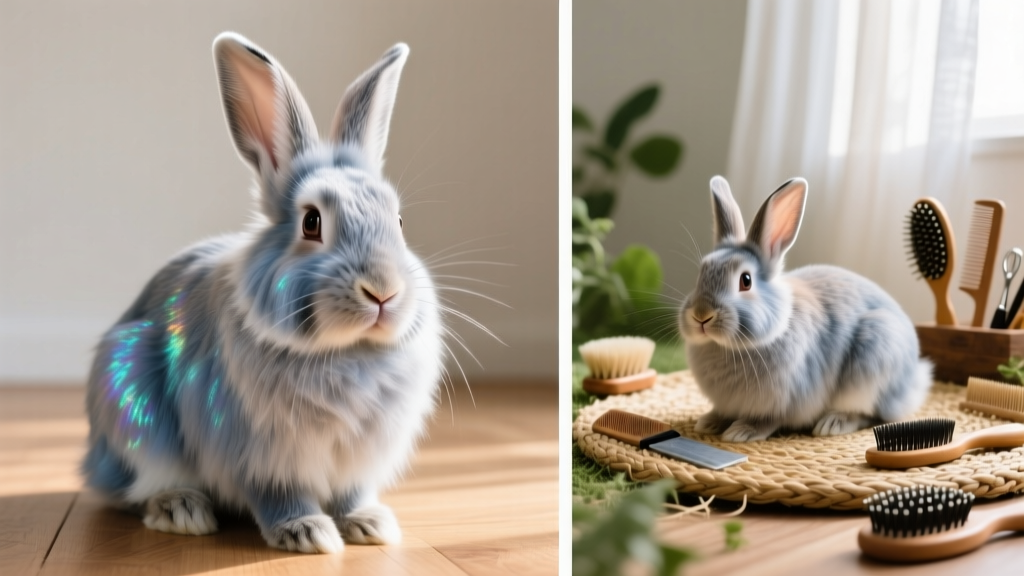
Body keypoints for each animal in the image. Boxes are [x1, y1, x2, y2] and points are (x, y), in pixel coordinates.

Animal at [81, 32, 444, 554]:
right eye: (311, 222)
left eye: (398, 221)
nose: (383, 291)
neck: (346, 353)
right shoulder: (261, 457)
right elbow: (280, 496)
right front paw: (308, 533)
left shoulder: (356, 461)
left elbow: (353, 494)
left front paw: (371, 525)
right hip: (129, 405)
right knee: (137, 488)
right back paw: (182, 510)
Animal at [678, 176, 932, 442]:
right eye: (700, 274)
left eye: (745, 281)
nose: (701, 315)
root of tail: (914, 378)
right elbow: (722, 412)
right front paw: (709, 422)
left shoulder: (786, 399)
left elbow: (768, 420)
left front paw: (741, 432)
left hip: (874, 361)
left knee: (870, 414)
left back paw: (832, 424)